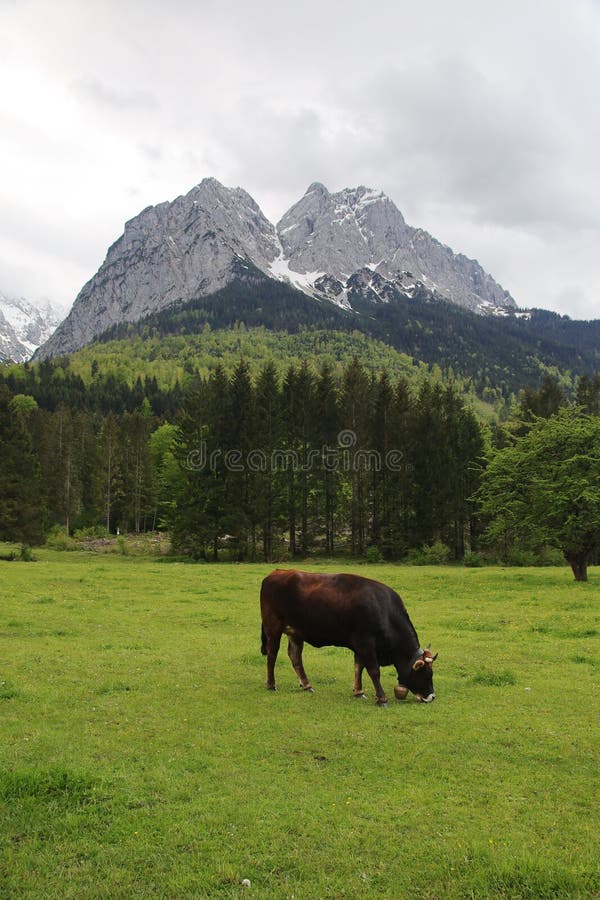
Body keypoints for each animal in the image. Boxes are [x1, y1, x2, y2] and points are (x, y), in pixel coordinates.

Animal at [260, 569, 437, 706]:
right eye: (427, 675)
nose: (432, 697)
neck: (383, 610)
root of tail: (276, 572)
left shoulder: (360, 645)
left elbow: (359, 667)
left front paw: (358, 691)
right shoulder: (366, 644)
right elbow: (373, 670)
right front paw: (381, 699)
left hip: (295, 632)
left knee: (295, 655)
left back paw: (306, 685)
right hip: (273, 627)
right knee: (272, 654)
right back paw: (271, 684)